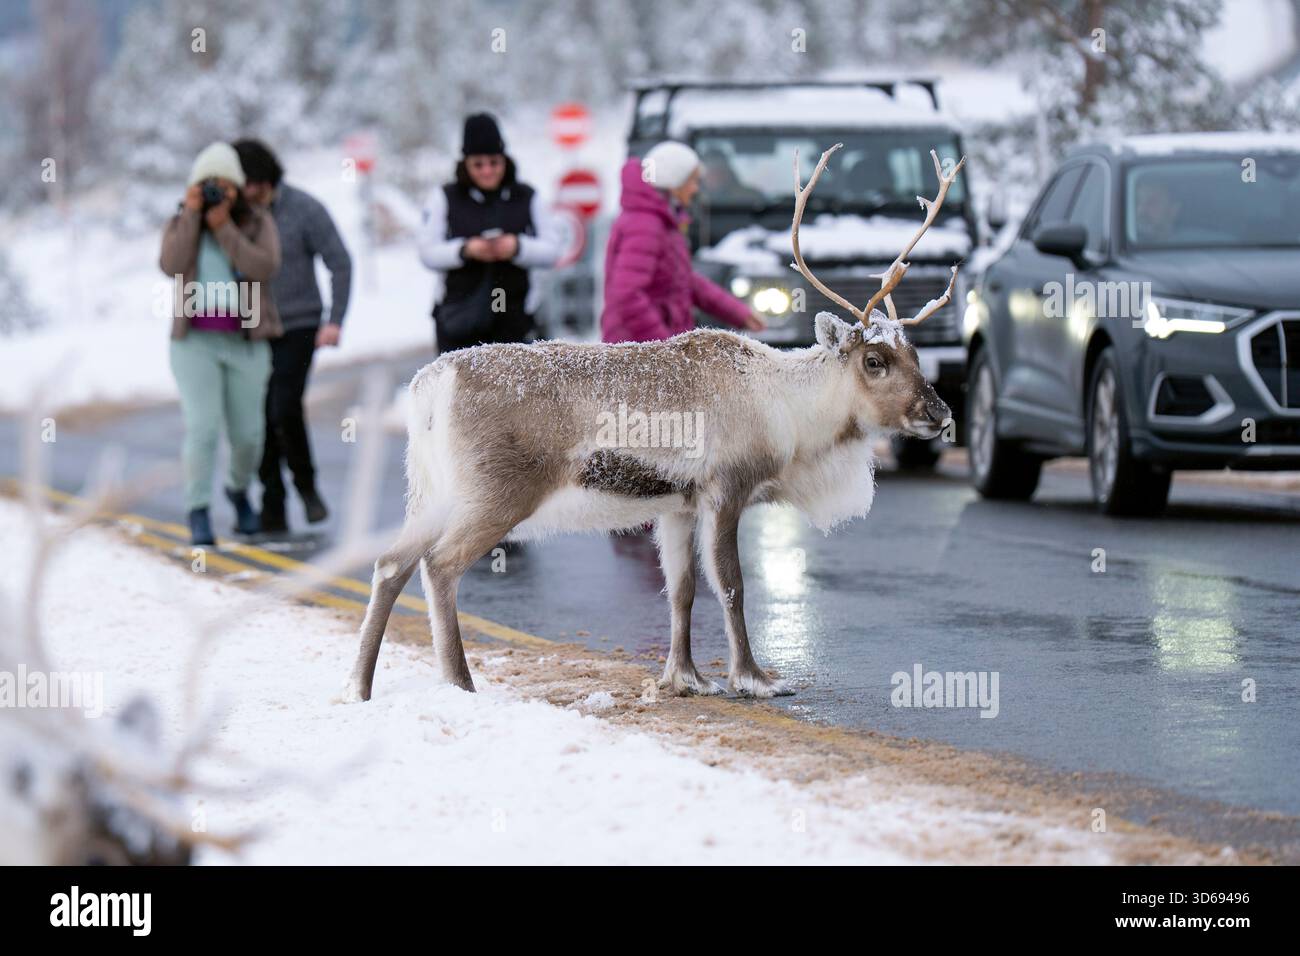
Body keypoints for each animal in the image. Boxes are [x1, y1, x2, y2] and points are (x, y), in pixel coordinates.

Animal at [344, 144, 963, 702]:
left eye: (911, 353)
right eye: (874, 361)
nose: (940, 413)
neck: (786, 407)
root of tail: (429, 384)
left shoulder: (676, 505)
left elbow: (680, 591)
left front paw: (684, 677)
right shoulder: (726, 488)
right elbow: (732, 586)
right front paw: (754, 679)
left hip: (430, 491)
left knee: (390, 562)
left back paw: (359, 686)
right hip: (494, 493)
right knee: (439, 565)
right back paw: (460, 683)